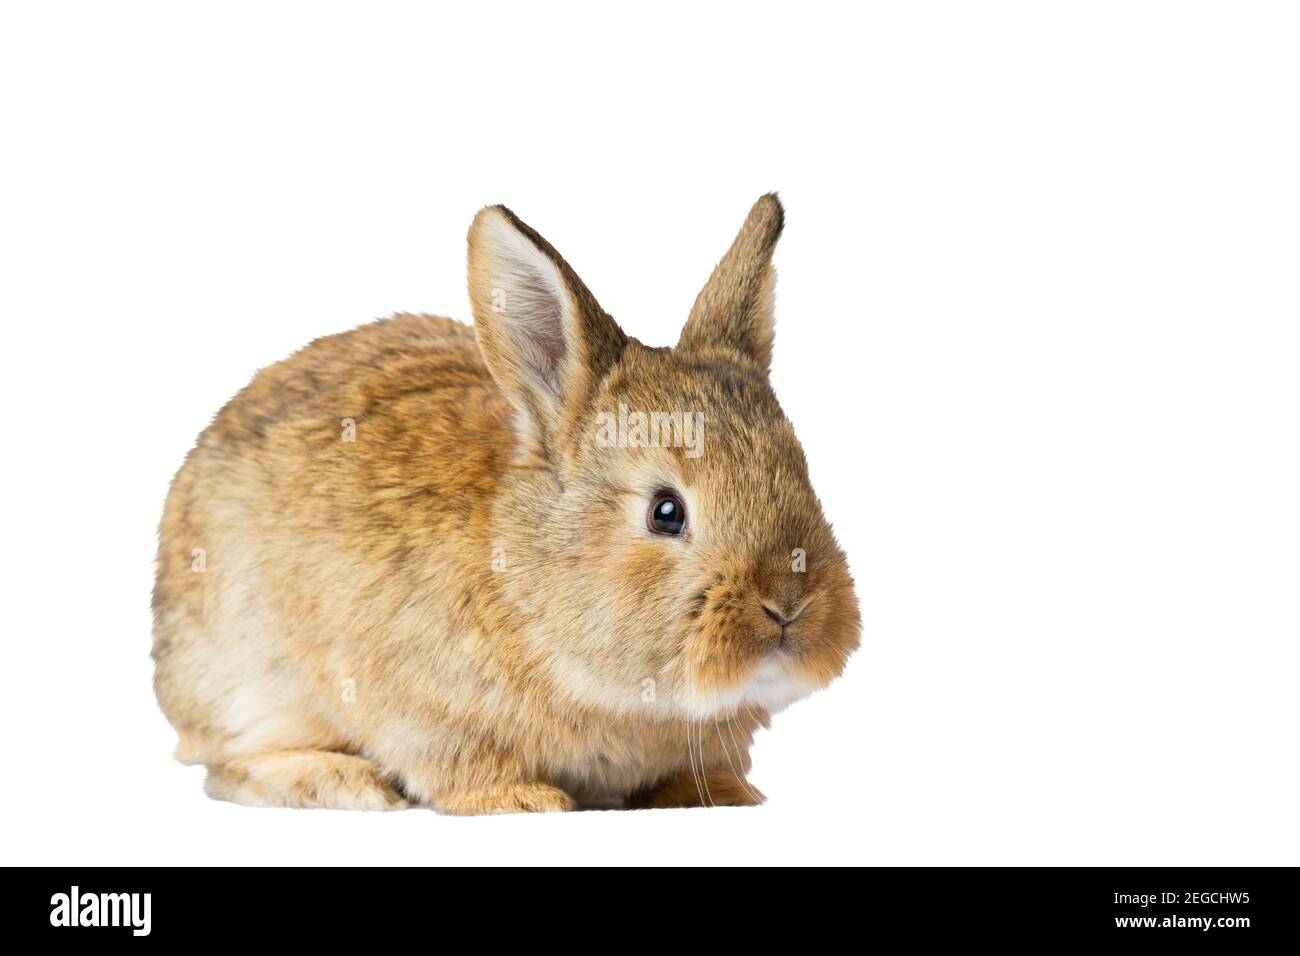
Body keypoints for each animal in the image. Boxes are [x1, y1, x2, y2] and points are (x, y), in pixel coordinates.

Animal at [151, 195, 861, 814]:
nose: (789, 606)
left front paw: (723, 794)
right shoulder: (421, 710)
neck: (527, 590)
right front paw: (520, 800)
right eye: (666, 511)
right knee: (226, 764)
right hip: (244, 682)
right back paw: (336, 782)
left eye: (802, 473)